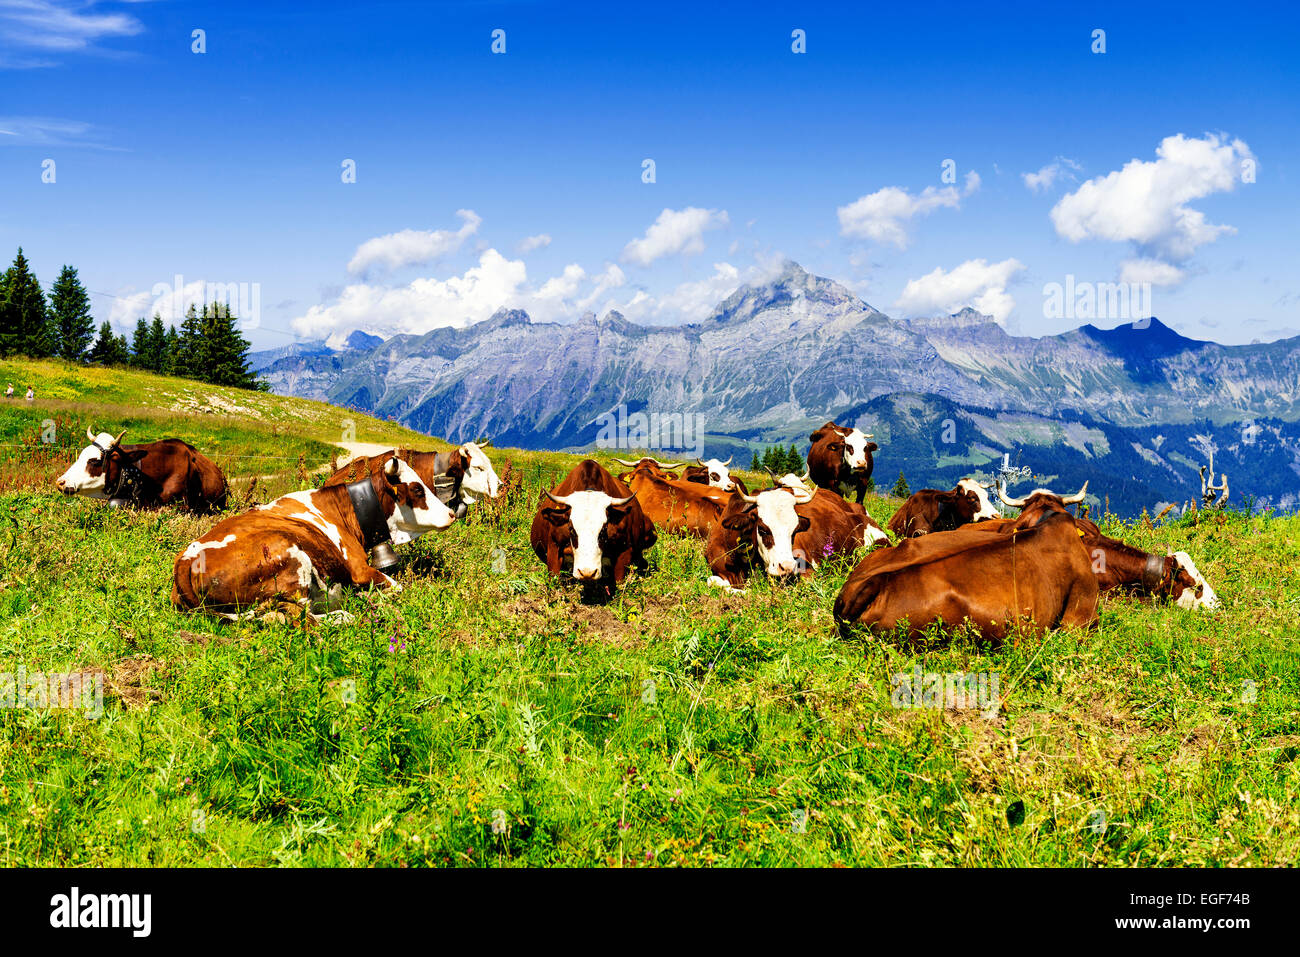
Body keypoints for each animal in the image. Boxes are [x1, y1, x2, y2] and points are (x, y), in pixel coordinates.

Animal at [172, 456, 456, 619]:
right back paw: (343, 615)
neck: (343, 509)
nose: (451, 514)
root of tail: (185, 561)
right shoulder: (360, 569)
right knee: (300, 615)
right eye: (417, 489)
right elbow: (398, 587)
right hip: (289, 556)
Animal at [530, 459, 657, 594]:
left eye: (604, 529)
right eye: (571, 529)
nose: (587, 572)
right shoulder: (554, 547)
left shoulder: (625, 550)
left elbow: (620, 581)